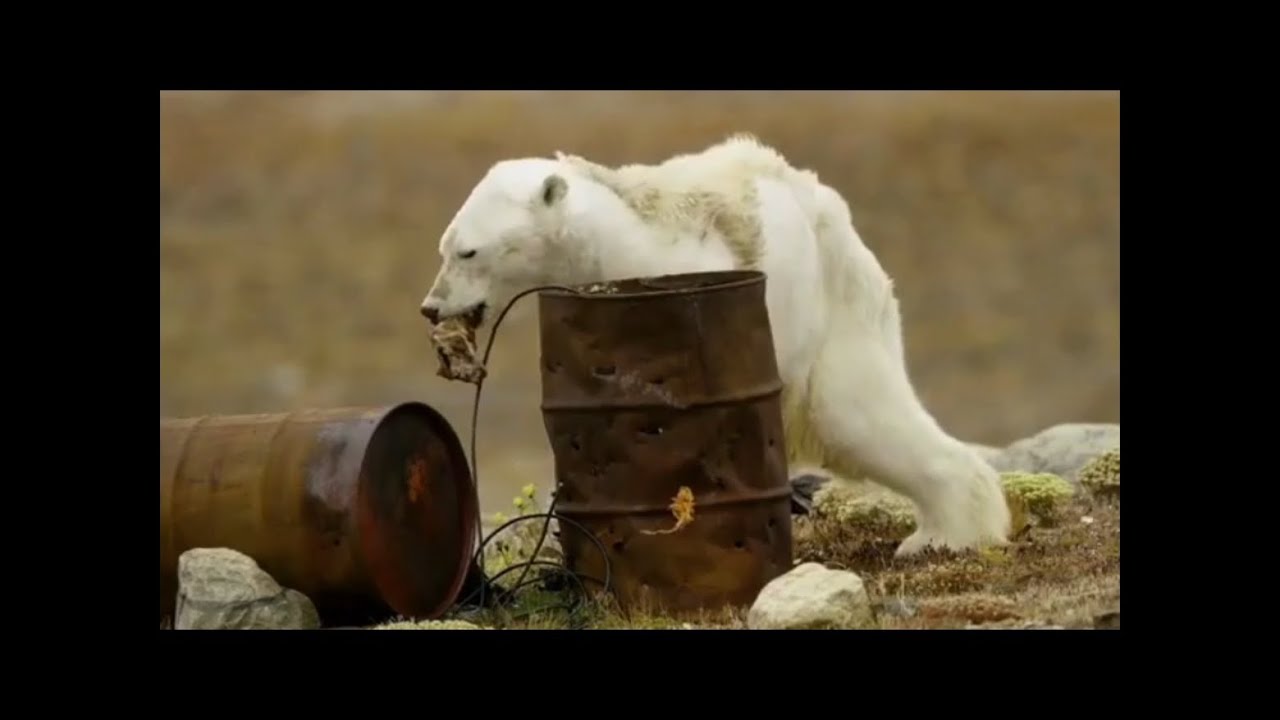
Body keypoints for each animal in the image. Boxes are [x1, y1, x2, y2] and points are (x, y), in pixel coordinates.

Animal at [419, 133, 1012, 557]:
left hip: (831, 313)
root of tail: (829, 211)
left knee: (859, 416)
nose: (431, 306)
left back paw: (945, 535)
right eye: (445, 246)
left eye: (469, 252)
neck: (611, 241)